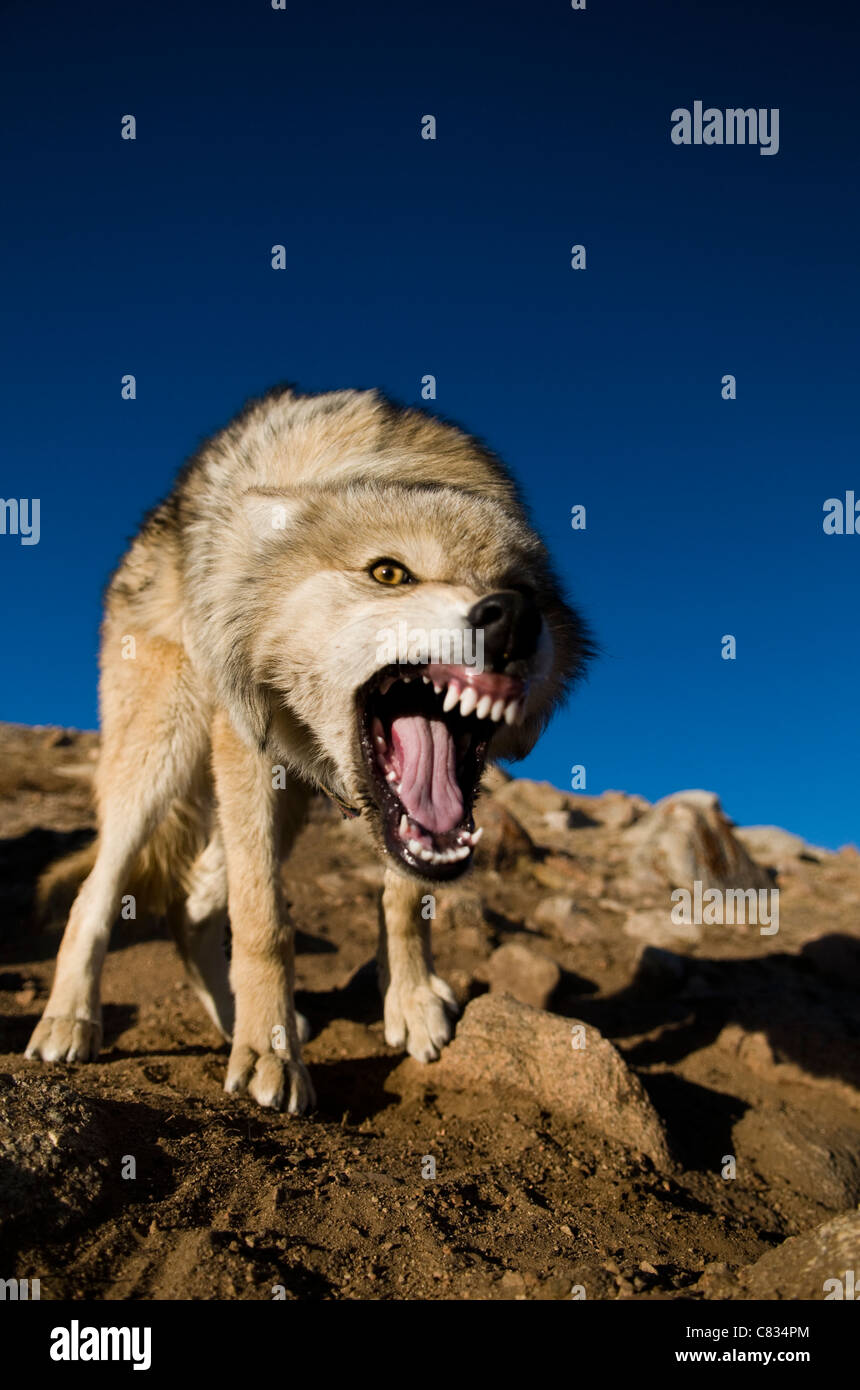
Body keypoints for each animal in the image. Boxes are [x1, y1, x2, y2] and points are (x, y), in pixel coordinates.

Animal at [26, 387, 592, 1111]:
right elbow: (264, 922)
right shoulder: (244, 743)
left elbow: (404, 897)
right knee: (97, 893)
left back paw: (231, 1019)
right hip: (163, 760)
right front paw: (271, 1053)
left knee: (191, 906)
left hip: (283, 800)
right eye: (389, 573)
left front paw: (410, 1002)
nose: (513, 617)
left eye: (524, 591)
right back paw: (71, 1020)